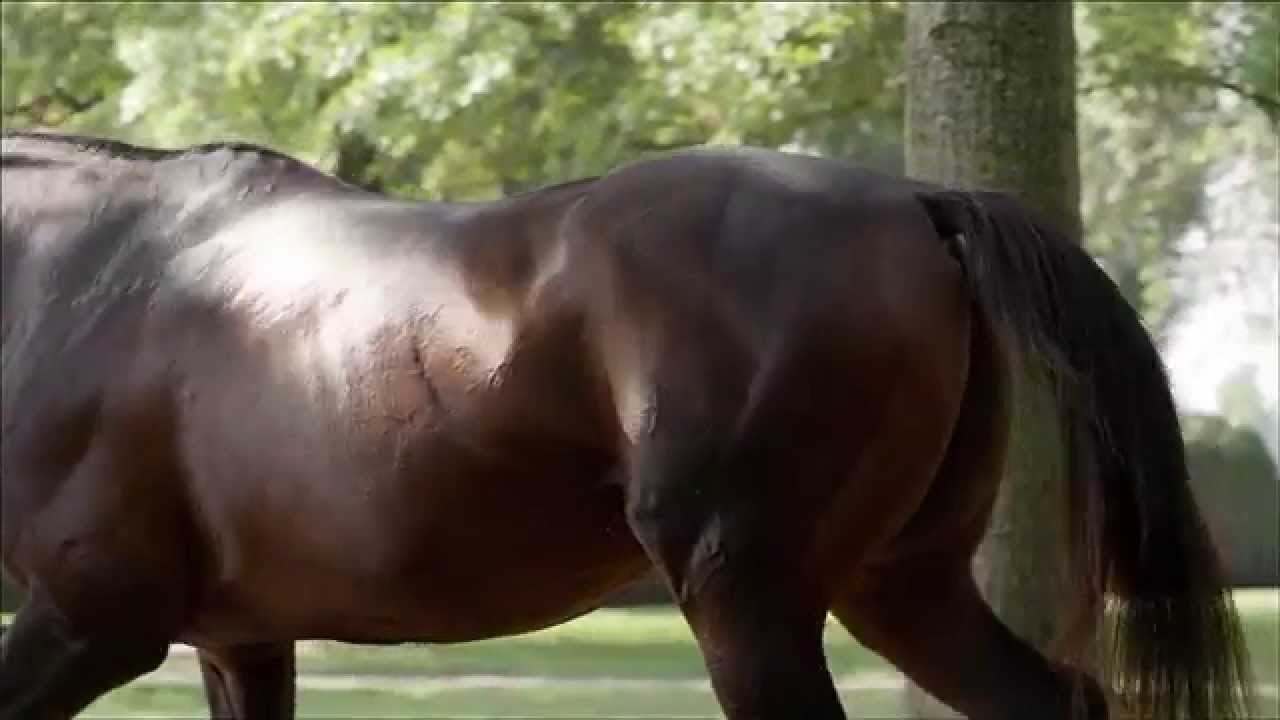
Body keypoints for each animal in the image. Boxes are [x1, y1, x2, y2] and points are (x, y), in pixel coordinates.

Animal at [0, 129, 1251, 720]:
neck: (89, 272)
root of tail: (918, 202)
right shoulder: (241, 640)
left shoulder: (94, 617)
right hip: (903, 584)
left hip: (746, 596)